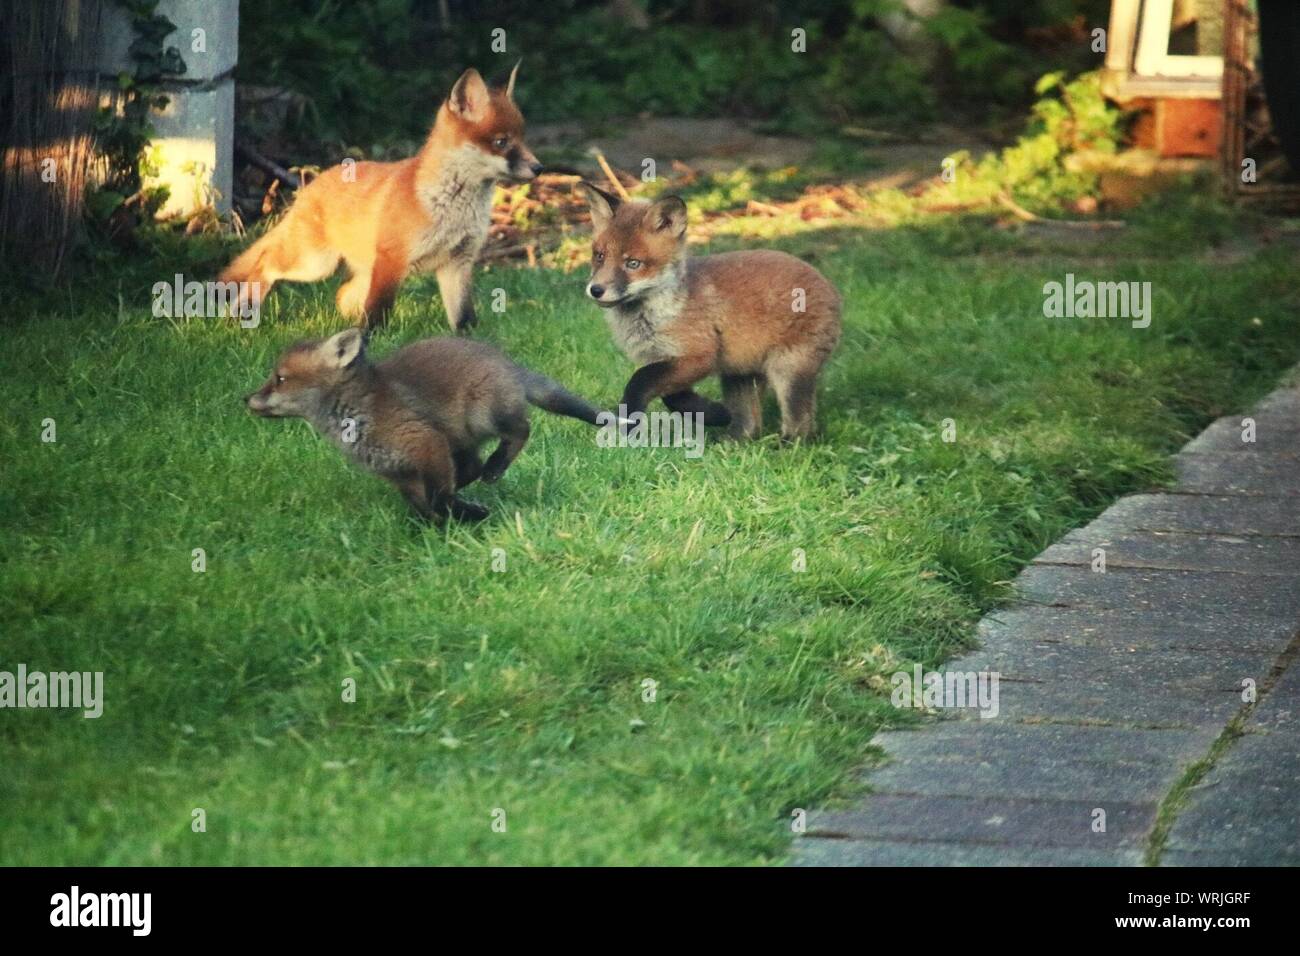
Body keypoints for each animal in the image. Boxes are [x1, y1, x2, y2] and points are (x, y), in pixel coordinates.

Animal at [220, 64, 541, 331]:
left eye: (523, 138)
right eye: (501, 142)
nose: (539, 168)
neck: (450, 207)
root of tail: (314, 181)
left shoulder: (457, 262)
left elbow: (464, 318)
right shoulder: (392, 260)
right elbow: (378, 311)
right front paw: (368, 339)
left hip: (353, 270)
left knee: (341, 295)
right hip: (314, 263)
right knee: (266, 261)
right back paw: (245, 309)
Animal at [245, 328, 604, 522]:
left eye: (280, 379)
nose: (246, 398)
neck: (357, 414)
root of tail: (508, 363)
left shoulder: (425, 442)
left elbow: (438, 499)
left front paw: (465, 515)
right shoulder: (399, 472)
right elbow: (423, 504)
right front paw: (443, 523)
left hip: (484, 414)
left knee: (520, 431)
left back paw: (496, 466)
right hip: (459, 440)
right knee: (471, 467)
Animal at [576, 184, 841, 441]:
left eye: (633, 263)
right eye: (599, 256)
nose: (596, 290)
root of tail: (828, 284)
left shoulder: (700, 356)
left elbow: (640, 380)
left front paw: (627, 426)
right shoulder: (666, 360)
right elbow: (672, 397)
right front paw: (714, 413)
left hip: (788, 371)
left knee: (802, 426)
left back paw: (787, 445)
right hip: (739, 376)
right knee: (751, 425)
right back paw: (733, 442)